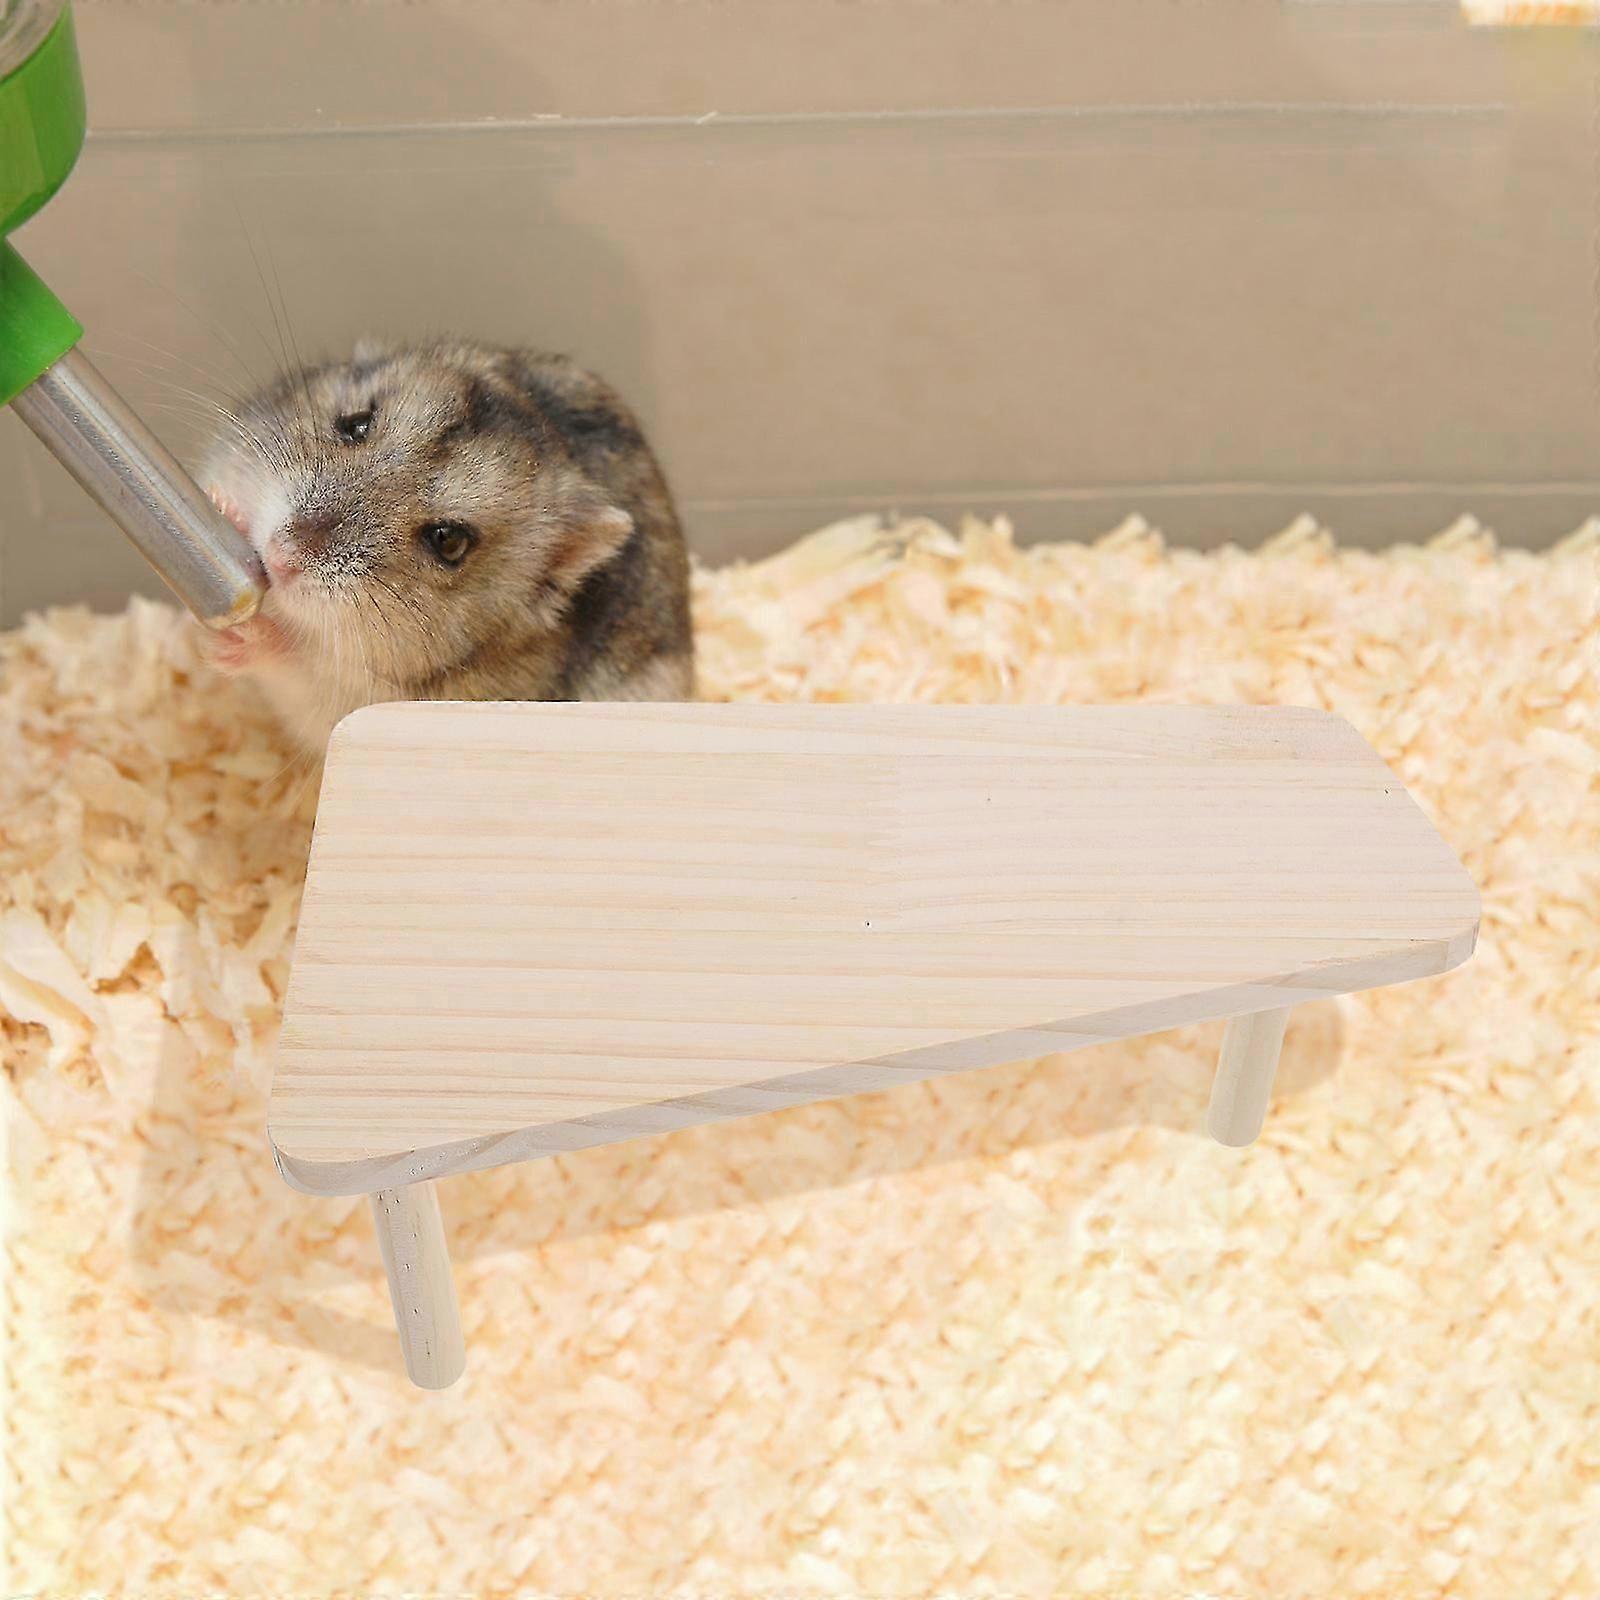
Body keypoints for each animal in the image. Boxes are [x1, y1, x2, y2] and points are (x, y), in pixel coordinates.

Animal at [198, 338, 694, 753]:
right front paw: (222, 505)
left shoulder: (357, 697)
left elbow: (299, 666)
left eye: (449, 541)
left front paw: (239, 637)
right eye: (356, 424)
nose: (279, 558)